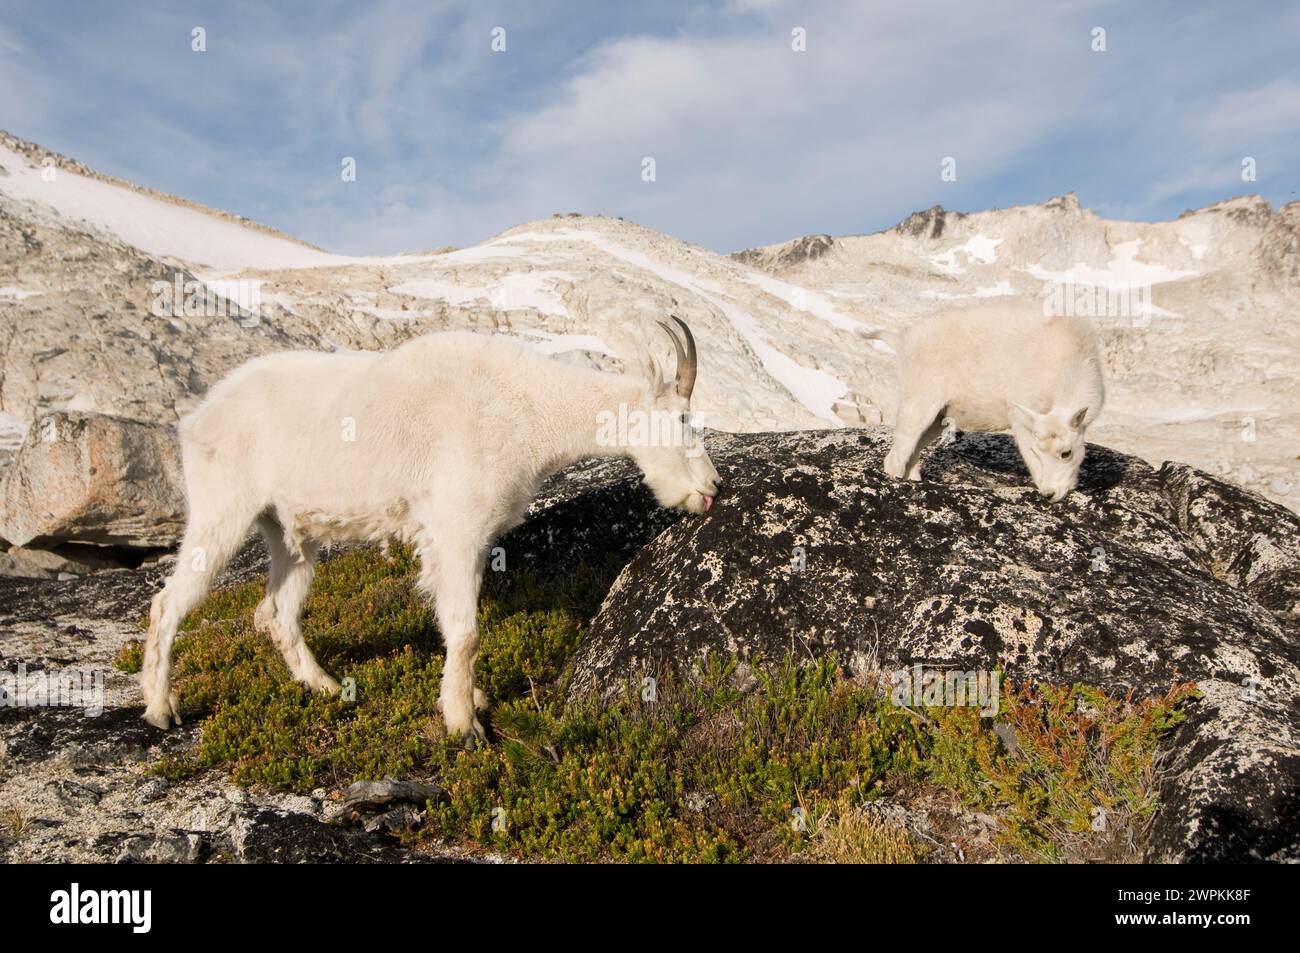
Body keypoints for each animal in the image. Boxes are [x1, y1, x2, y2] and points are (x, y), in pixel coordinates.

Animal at [140, 318, 721, 744]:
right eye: (683, 419)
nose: (712, 486)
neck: (529, 410)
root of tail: (196, 420)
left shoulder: (466, 539)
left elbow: (453, 624)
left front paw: (471, 699)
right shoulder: (457, 528)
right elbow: (466, 632)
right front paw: (464, 724)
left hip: (289, 532)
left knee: (275, 612)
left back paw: (325, 686)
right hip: (222, 509)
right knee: (169, 603)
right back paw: (160, 707)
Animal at [863, 304, 1104, 500]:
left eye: (1066, 453)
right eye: (1037, 451)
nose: (1050, 494)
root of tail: (903, 341)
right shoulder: (1021, 417)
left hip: (937, 417)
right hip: (919, 402)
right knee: (896, 456)